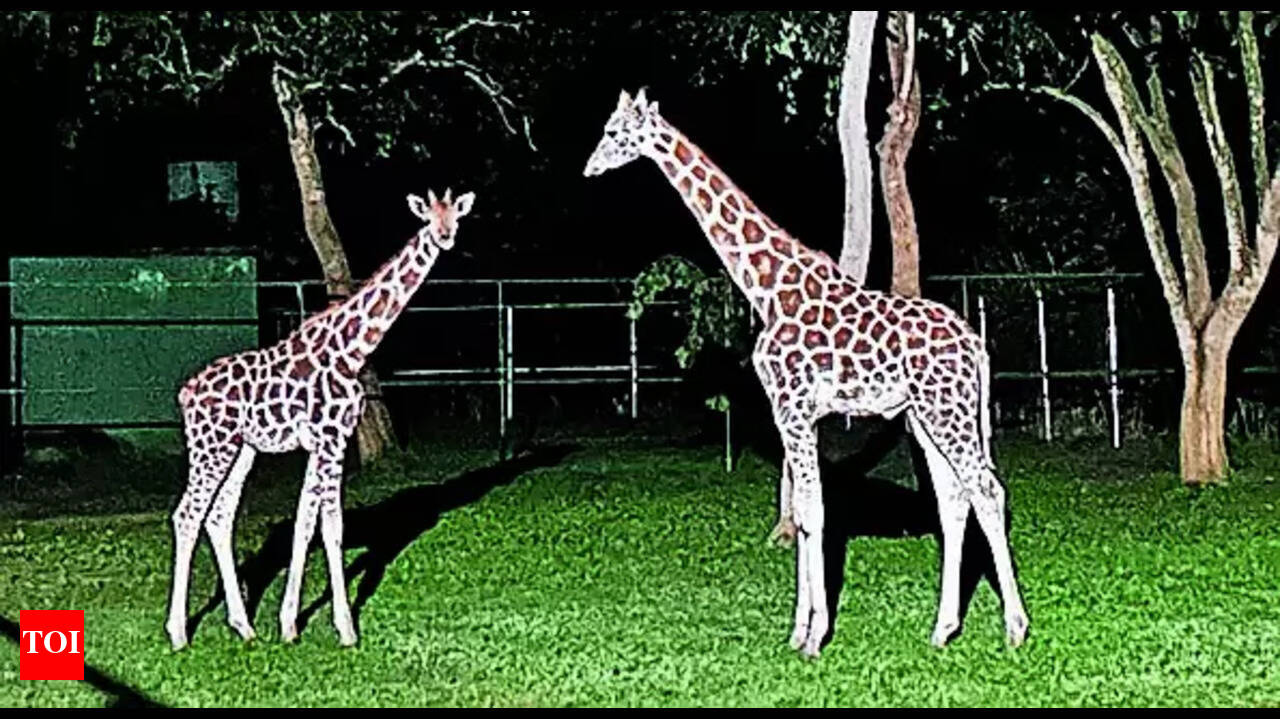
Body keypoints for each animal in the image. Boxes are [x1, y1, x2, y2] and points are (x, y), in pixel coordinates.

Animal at [165, 188, 476, 651]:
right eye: (428, 216)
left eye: (456, 215)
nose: (445, 236)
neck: (353, 350)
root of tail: (186, 394)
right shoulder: (331, 438)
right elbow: (331, 528)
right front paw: (345, 628)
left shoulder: (325, 441)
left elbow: (305, 524)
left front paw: (288, 624)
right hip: (210, 444)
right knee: (187, 514)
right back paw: (179, 633)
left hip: (241, 449)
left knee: (218, 517)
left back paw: (244, 626)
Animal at [584, 89, 1028, 657]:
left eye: (614, 132)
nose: (591, 167)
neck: (767, 287)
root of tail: (976, 344)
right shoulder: (794, 412)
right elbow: (803, 511)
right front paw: (799, 630)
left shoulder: (793, 406)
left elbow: (813, 513)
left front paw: (815, 636)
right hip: (926, 415)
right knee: (954, 500)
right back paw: (943, 629)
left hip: (947, 409)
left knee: (988, 491)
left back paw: (1015, 628)